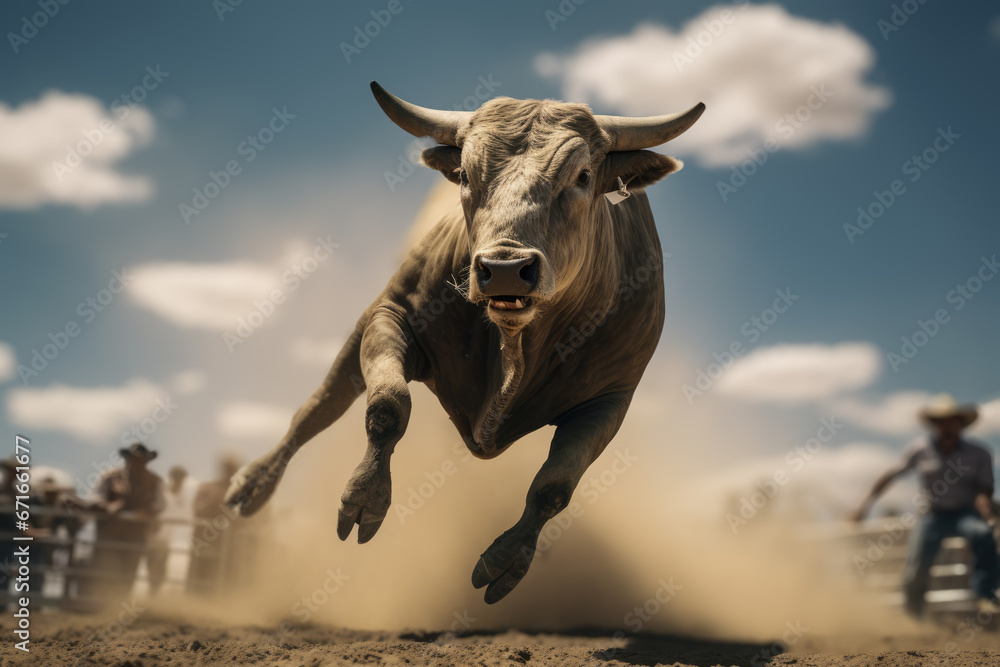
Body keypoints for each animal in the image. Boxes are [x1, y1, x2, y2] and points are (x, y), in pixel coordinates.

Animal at [224, 82, 705, 603]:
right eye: (466, 175)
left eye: (581, 176)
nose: (505, 268)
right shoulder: (391, 314)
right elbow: (388, 405)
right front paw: (365, 497)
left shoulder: (611, 396)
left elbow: (554, 485)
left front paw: (506, 561)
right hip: (360, 332)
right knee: (320, 405)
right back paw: (252, 487)